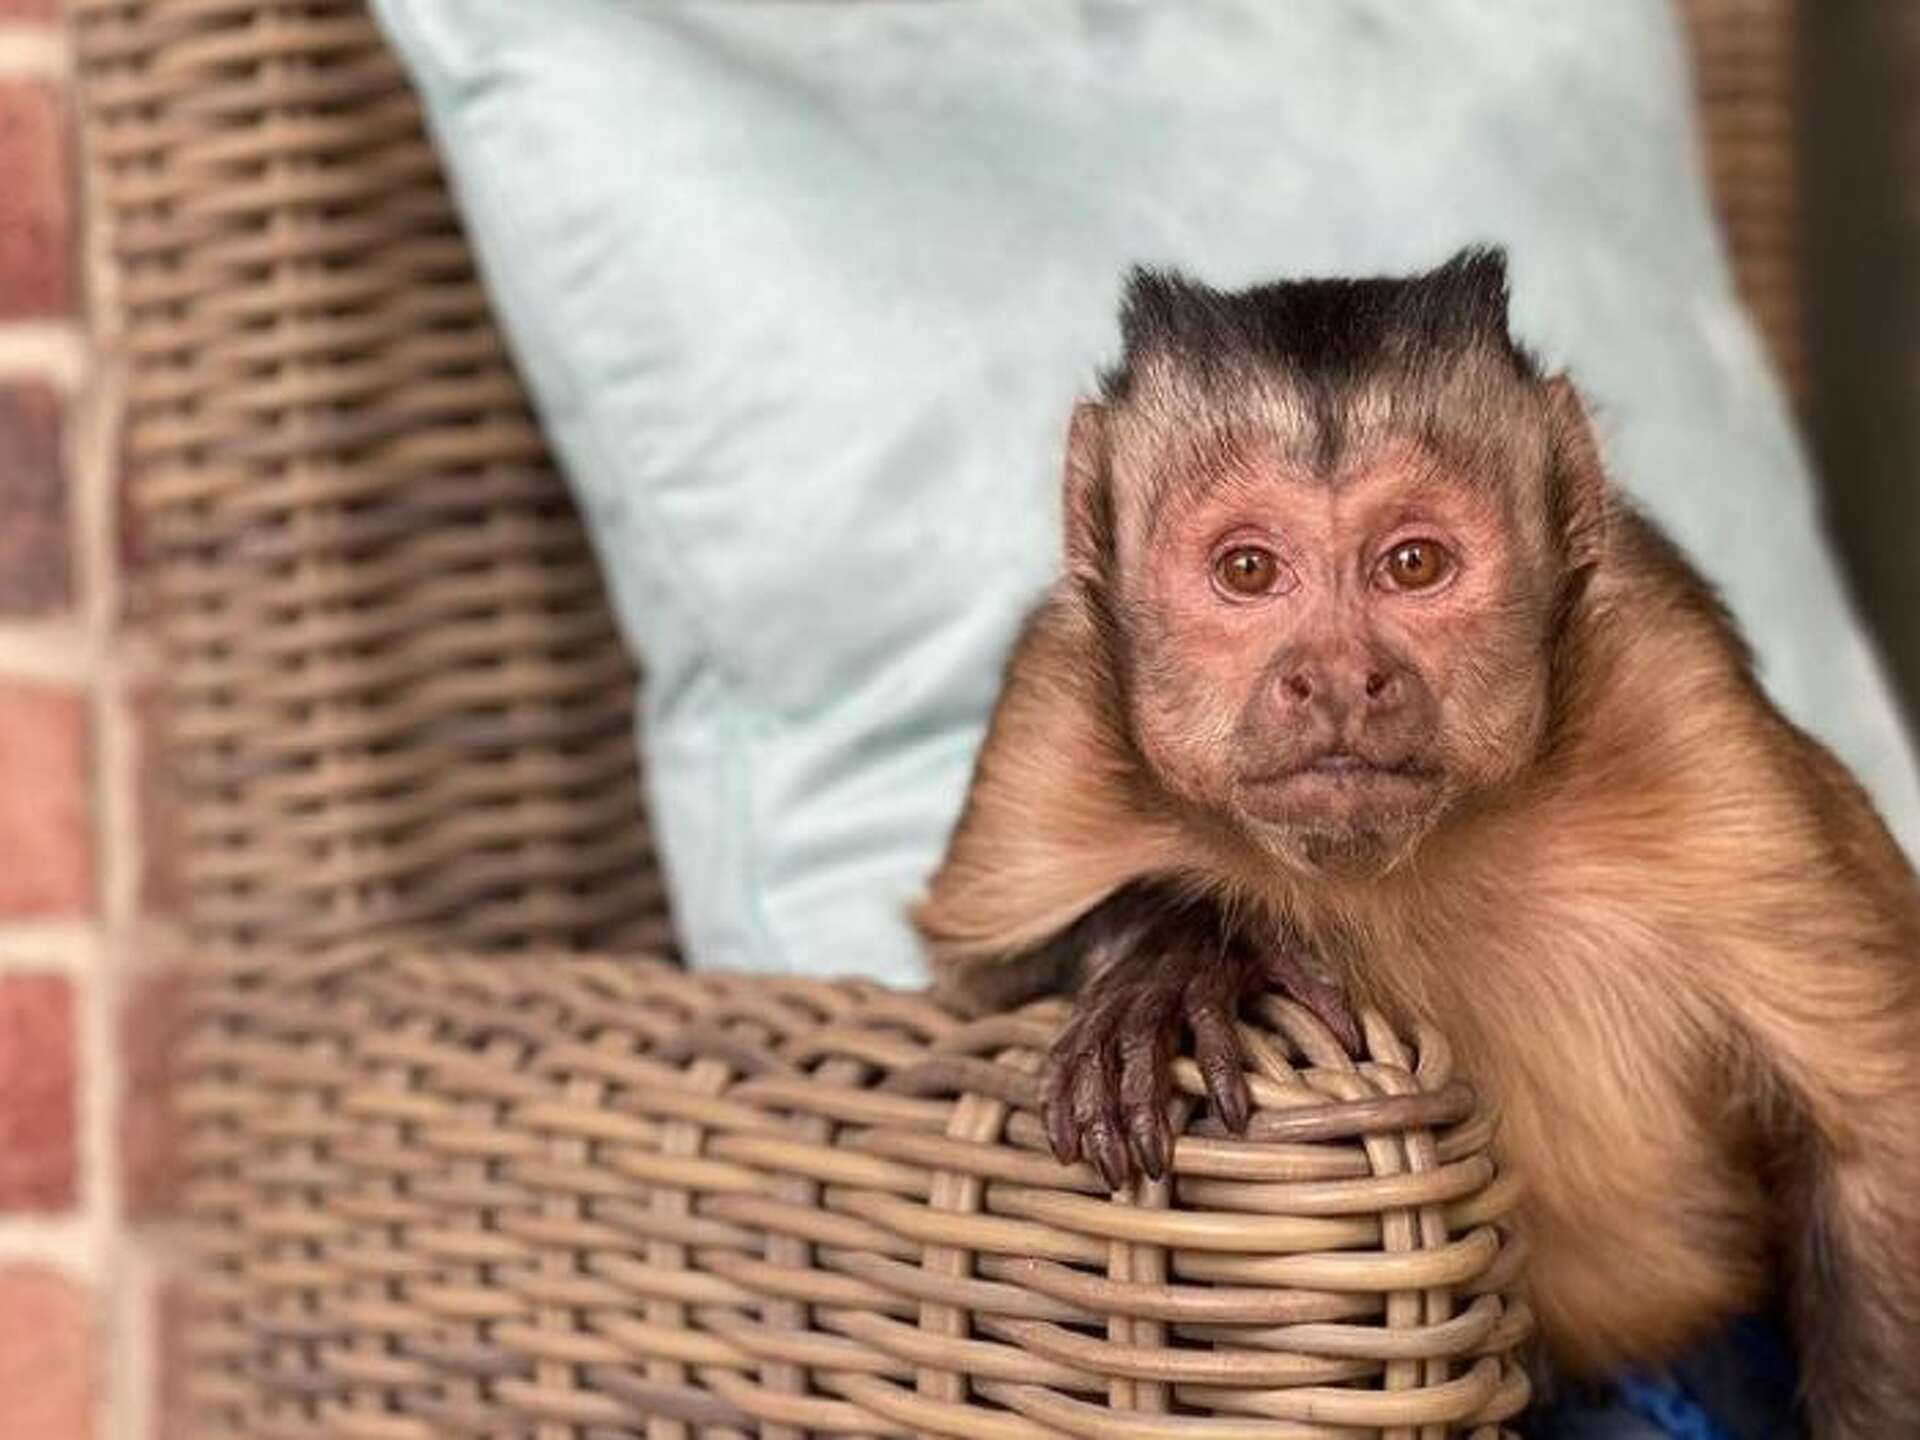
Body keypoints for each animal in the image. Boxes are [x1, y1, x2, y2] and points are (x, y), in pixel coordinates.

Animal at [913, 249, 1920, 1437]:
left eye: (1413, 564)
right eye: (1247, 571)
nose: (1341, 676)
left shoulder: (1682, 694)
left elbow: (1877, 1127)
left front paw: (1186, 962)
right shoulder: (1051, 716)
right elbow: (960, 995)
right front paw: (1180, 952)